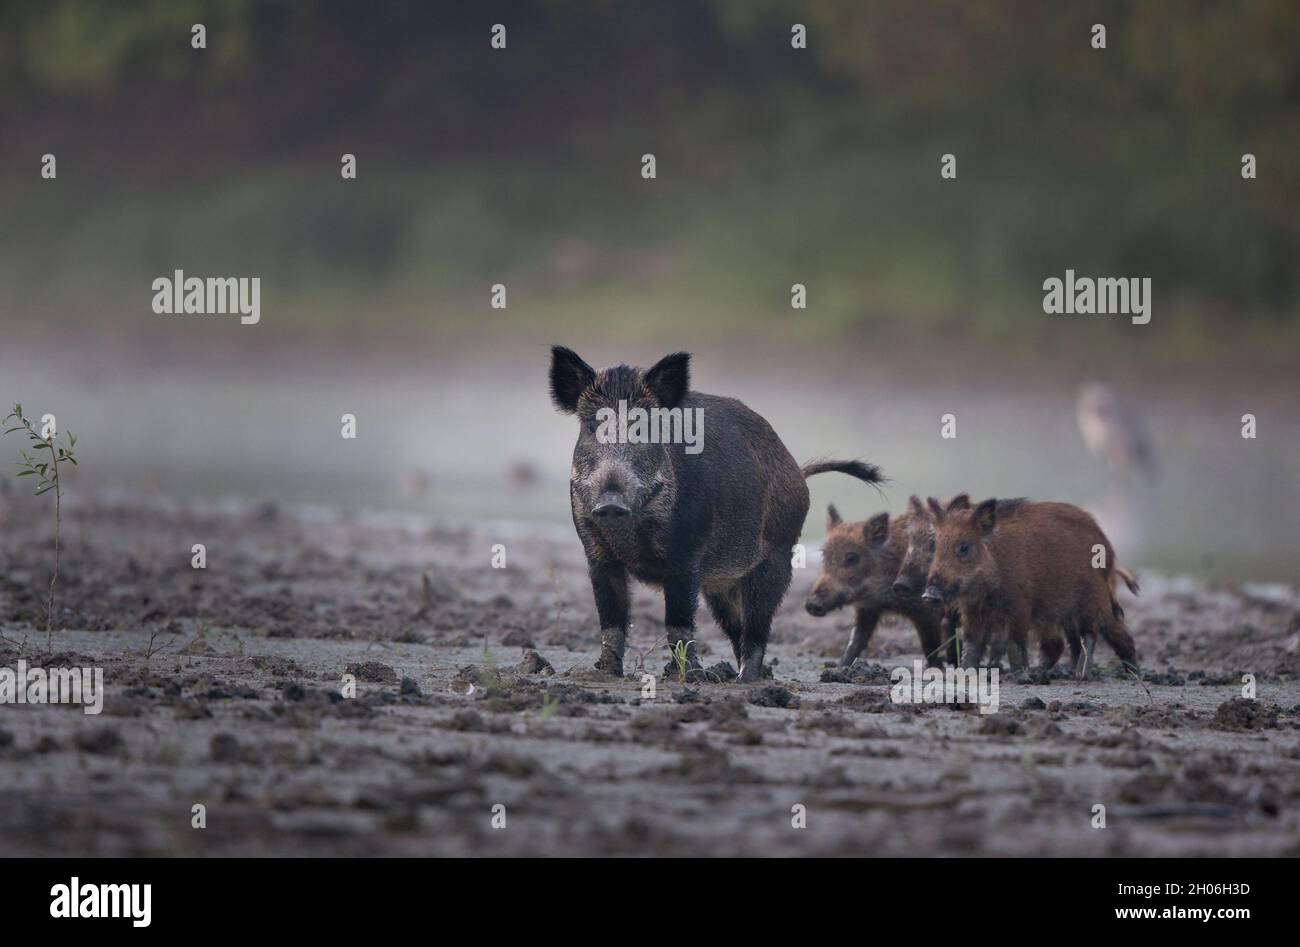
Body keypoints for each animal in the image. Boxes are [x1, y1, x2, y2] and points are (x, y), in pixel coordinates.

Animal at [549, 346, 883, 682]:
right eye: (591, 426)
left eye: (642, 427)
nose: (611, 503)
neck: (631, 532)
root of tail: (798, 473)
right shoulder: (597, 554)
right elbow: (611, 621)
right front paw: (603, 674)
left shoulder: (686, 554)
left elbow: (678, 622)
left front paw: (688, 676)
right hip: (720, 584)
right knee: (736, 629)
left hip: (777, 555)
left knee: (757, 627)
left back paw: (746, 679)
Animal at [804, 499, 961, 668]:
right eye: (824, 555)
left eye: (851, 558)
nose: (812, 604)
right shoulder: (867, 609)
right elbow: (856, 641)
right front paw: (840, 667)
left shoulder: (928, 612)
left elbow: (930, 647)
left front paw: (936, 669)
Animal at [921, 496, 1140, 677]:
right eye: (935, 545)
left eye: (964, 547)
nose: (929, 594)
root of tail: (1107, 547)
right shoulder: (972, 611)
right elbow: (972, 643)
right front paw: (965, 672)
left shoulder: (1020, 606)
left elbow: (1015, 642)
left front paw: (1020, 676)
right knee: (1076, 640)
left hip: (1092, 598)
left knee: (1096, 633)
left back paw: (1093, 674)